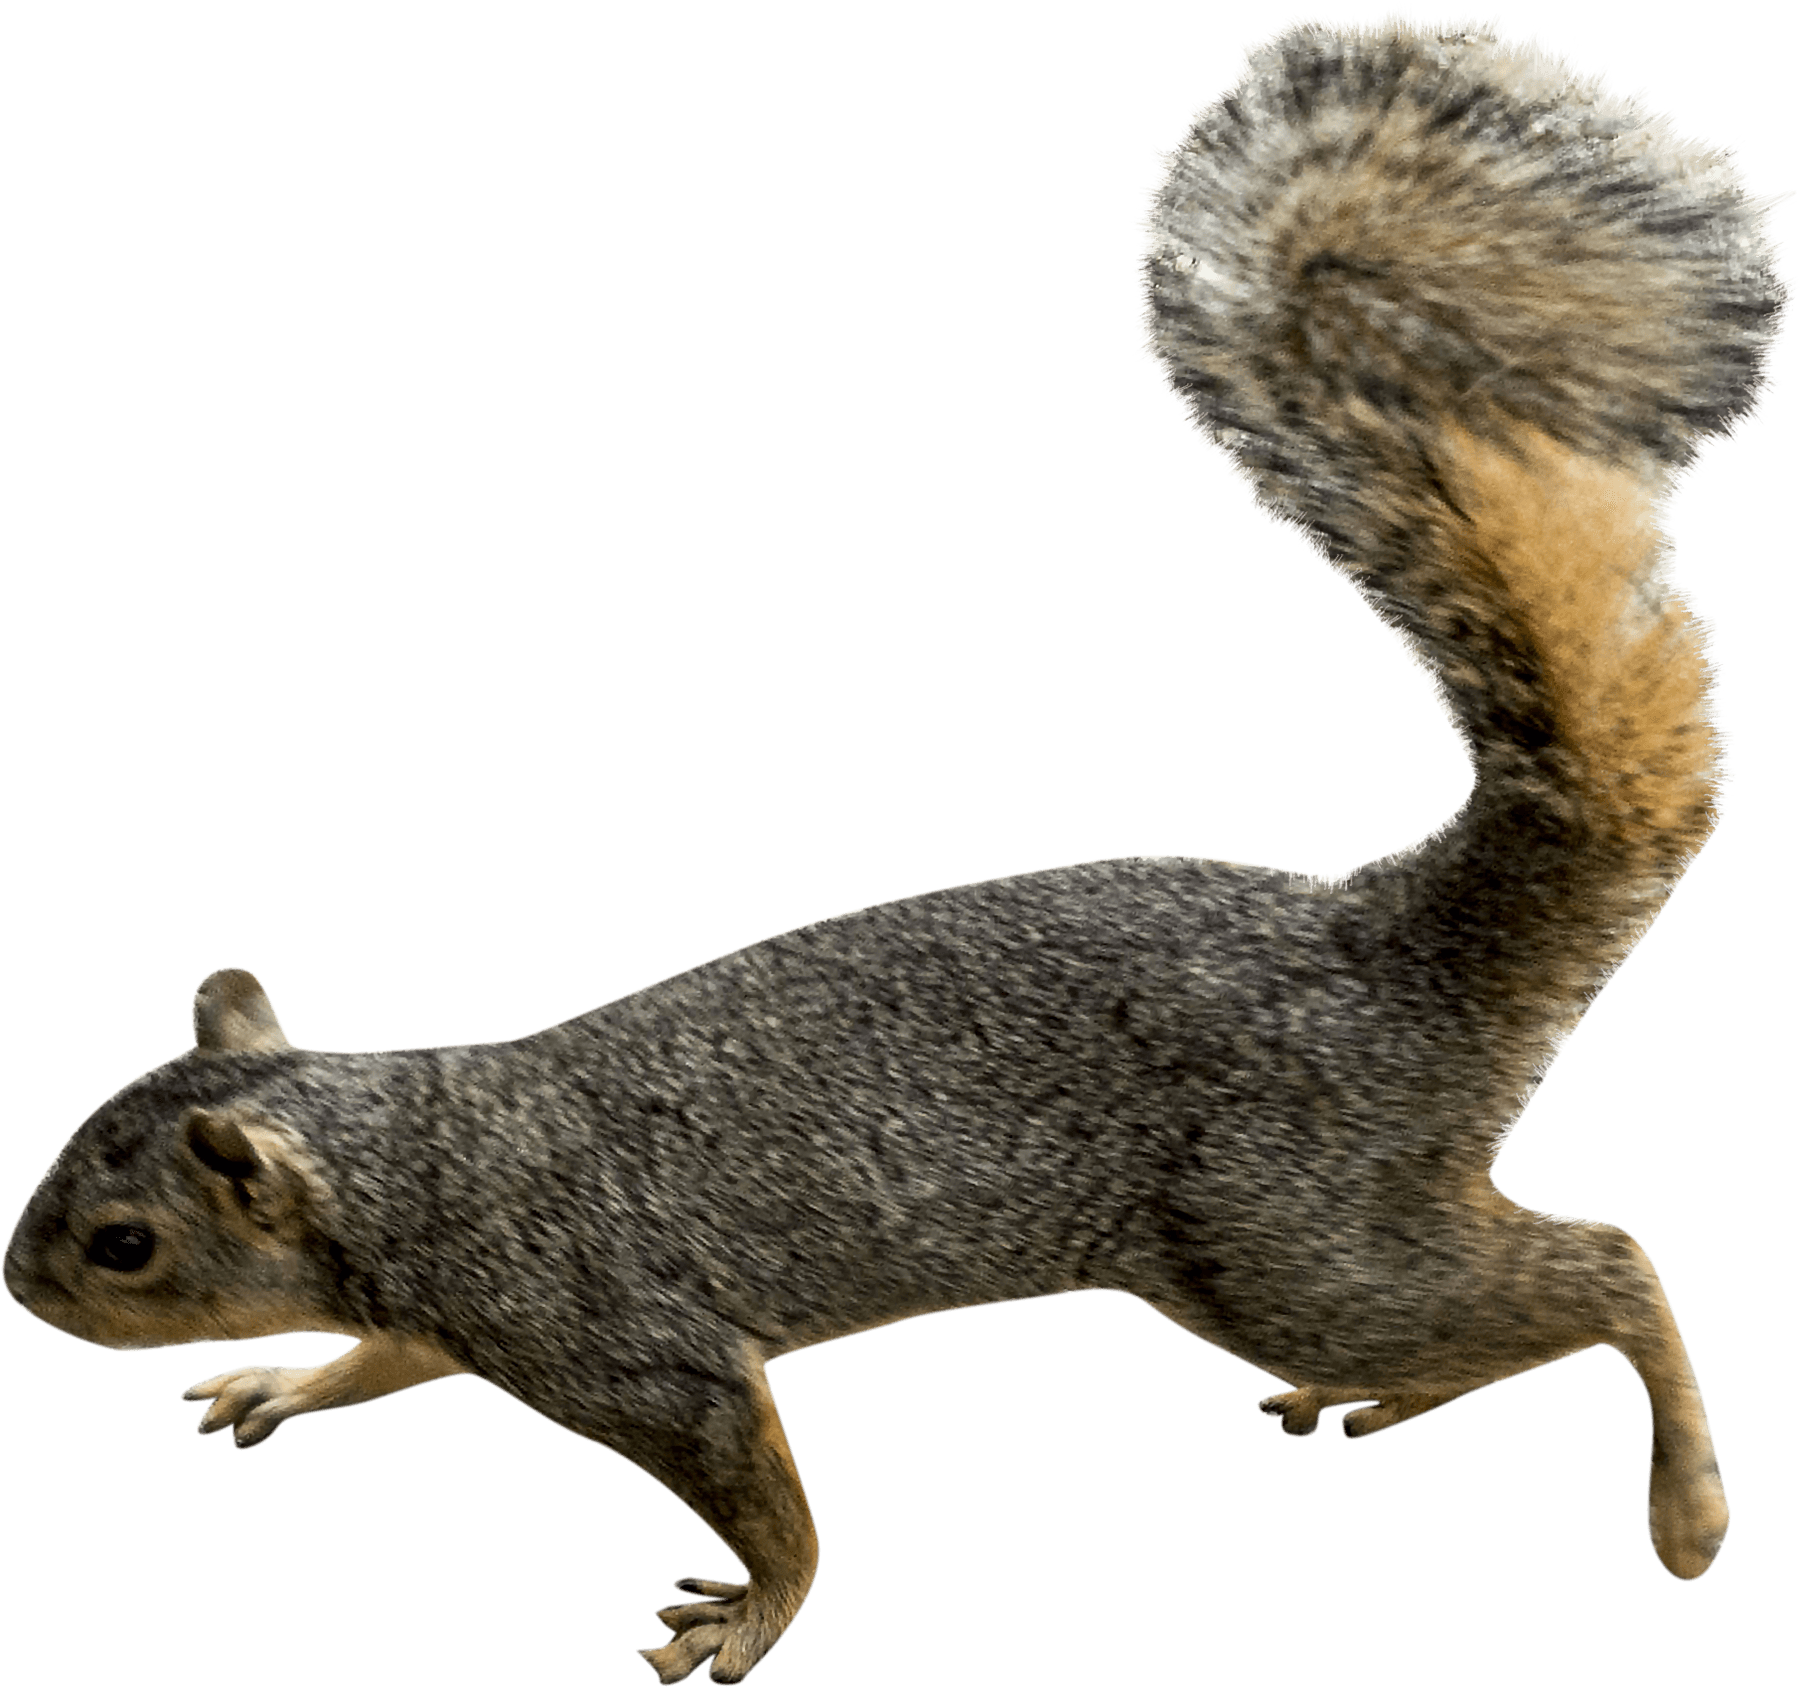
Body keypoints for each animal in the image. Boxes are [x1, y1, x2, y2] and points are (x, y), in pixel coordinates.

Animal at [5, 13, 1790, 1684]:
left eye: (125, 1245)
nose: (18, 1290)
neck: (408, 1160)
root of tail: (1388, 942)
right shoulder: (457, 1320)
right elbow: (385, 1360)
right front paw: (285, 1381)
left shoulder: (611, 1332)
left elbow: (760, 1486)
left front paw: (748, 1617)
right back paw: (1393, 1394)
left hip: (1284, 1229)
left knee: (1611, 1264)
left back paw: (1689, 1514)